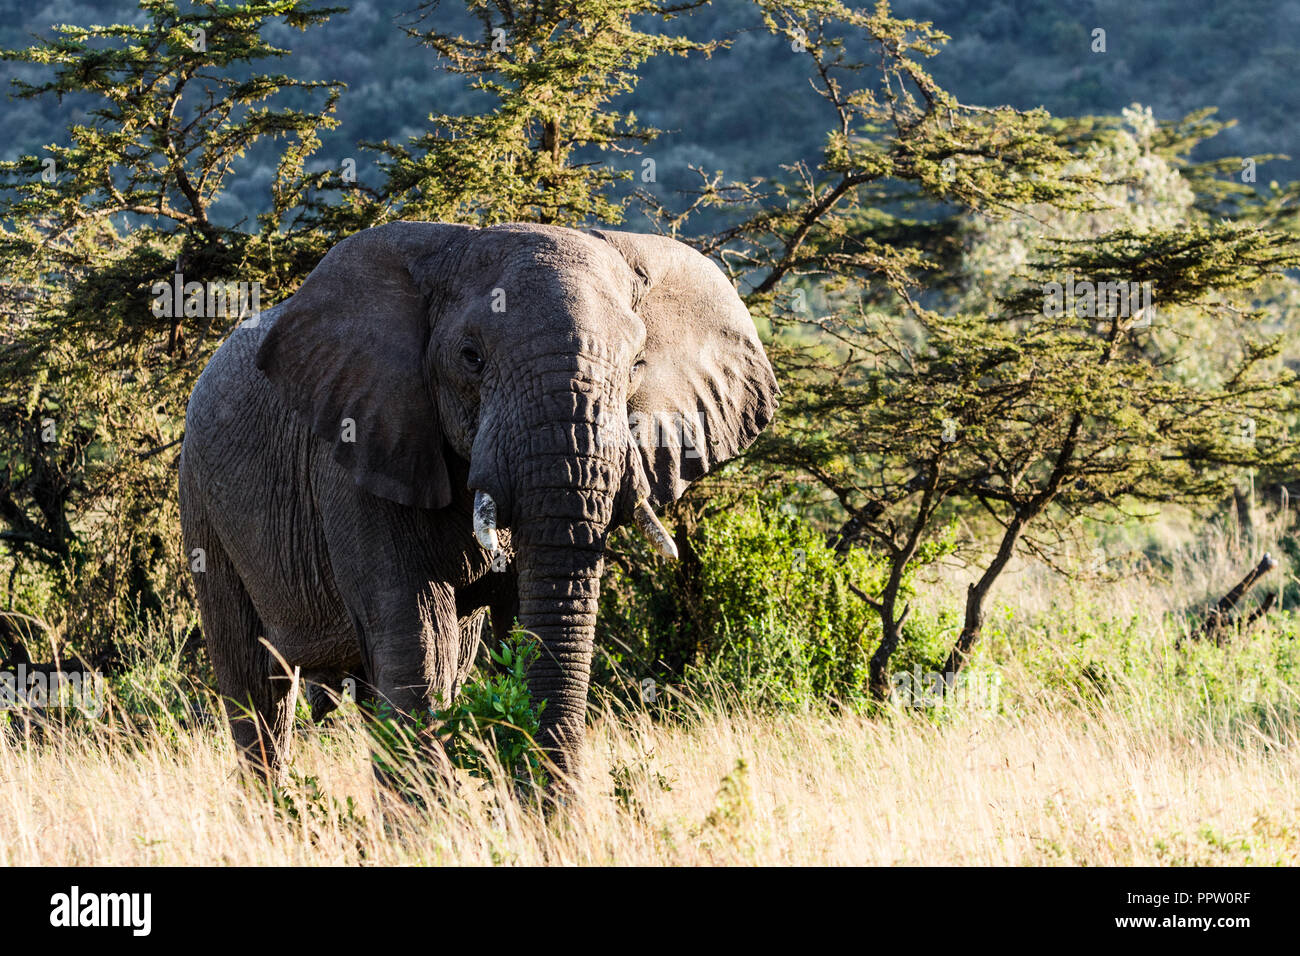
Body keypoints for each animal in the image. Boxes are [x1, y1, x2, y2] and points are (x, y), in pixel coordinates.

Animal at [178, 221, 778, 785]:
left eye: (635, 367)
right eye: (471, 358)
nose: (557, 819)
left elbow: (519, 630)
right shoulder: (360, 447)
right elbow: (417, 637)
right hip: (201, 501)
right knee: (256, 691)